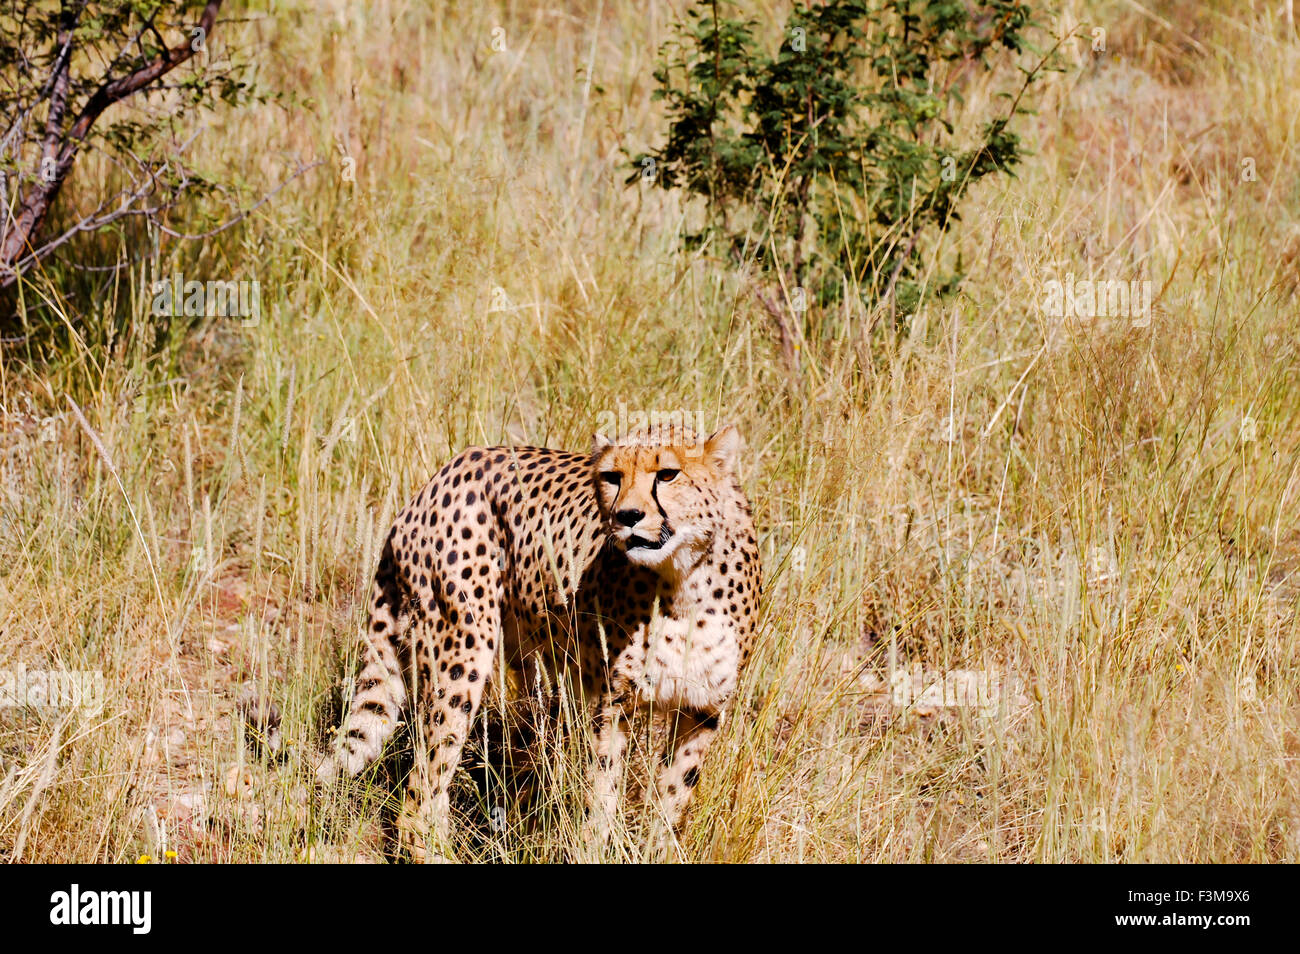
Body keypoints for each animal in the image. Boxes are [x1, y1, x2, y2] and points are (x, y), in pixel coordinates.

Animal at [316, 421, 761, 860]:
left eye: (668, 474)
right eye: (612, 477)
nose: (627, 516)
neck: (686, 580)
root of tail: (443, 474)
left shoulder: (702, 710)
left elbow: (671, 803)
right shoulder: (613, 703)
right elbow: (600, 798)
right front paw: (592, 849)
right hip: (461, 650)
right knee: (420, 794)